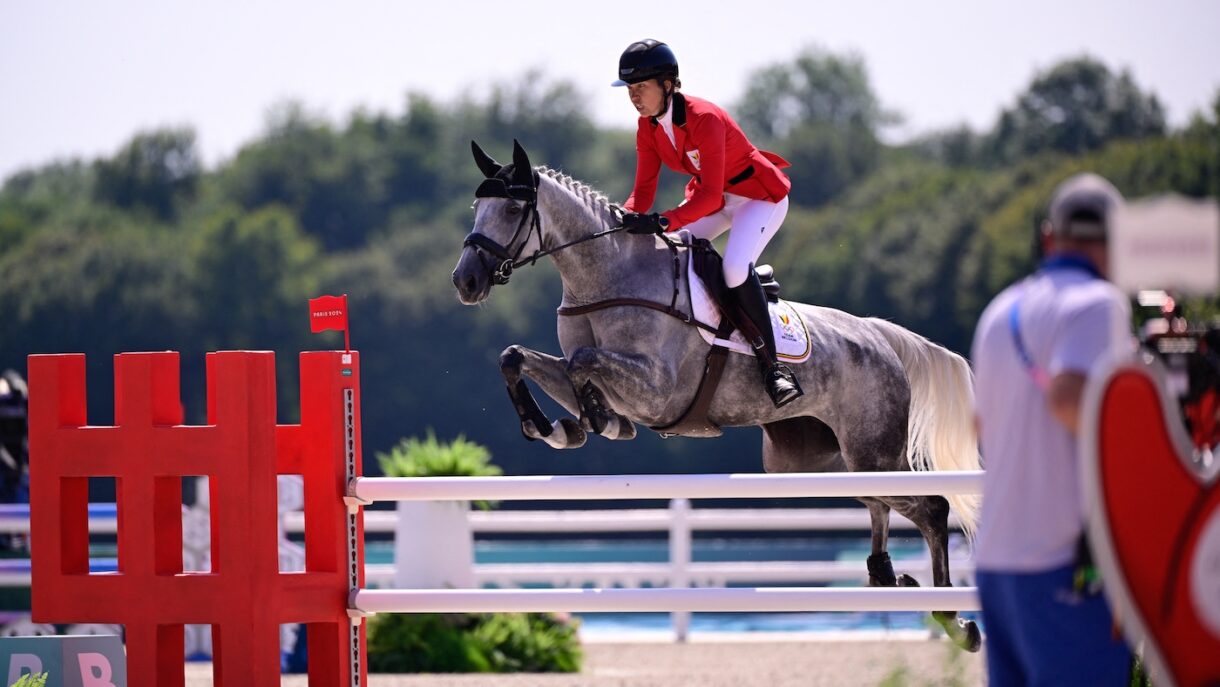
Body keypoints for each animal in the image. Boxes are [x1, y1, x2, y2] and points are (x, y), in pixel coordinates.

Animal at [451, 140, 983, 651]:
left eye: (512, 209)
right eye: (476, 209)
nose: (465, 281)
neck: (606, 280)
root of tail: (878, 335)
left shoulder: (657, 393)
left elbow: (583, 361)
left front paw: (596, 420)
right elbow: (517, 357)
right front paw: (557, 427)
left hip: (872, 450)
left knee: (932, 508)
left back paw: (954, 621)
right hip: (816, 463)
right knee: (880, 502)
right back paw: (888, 575)